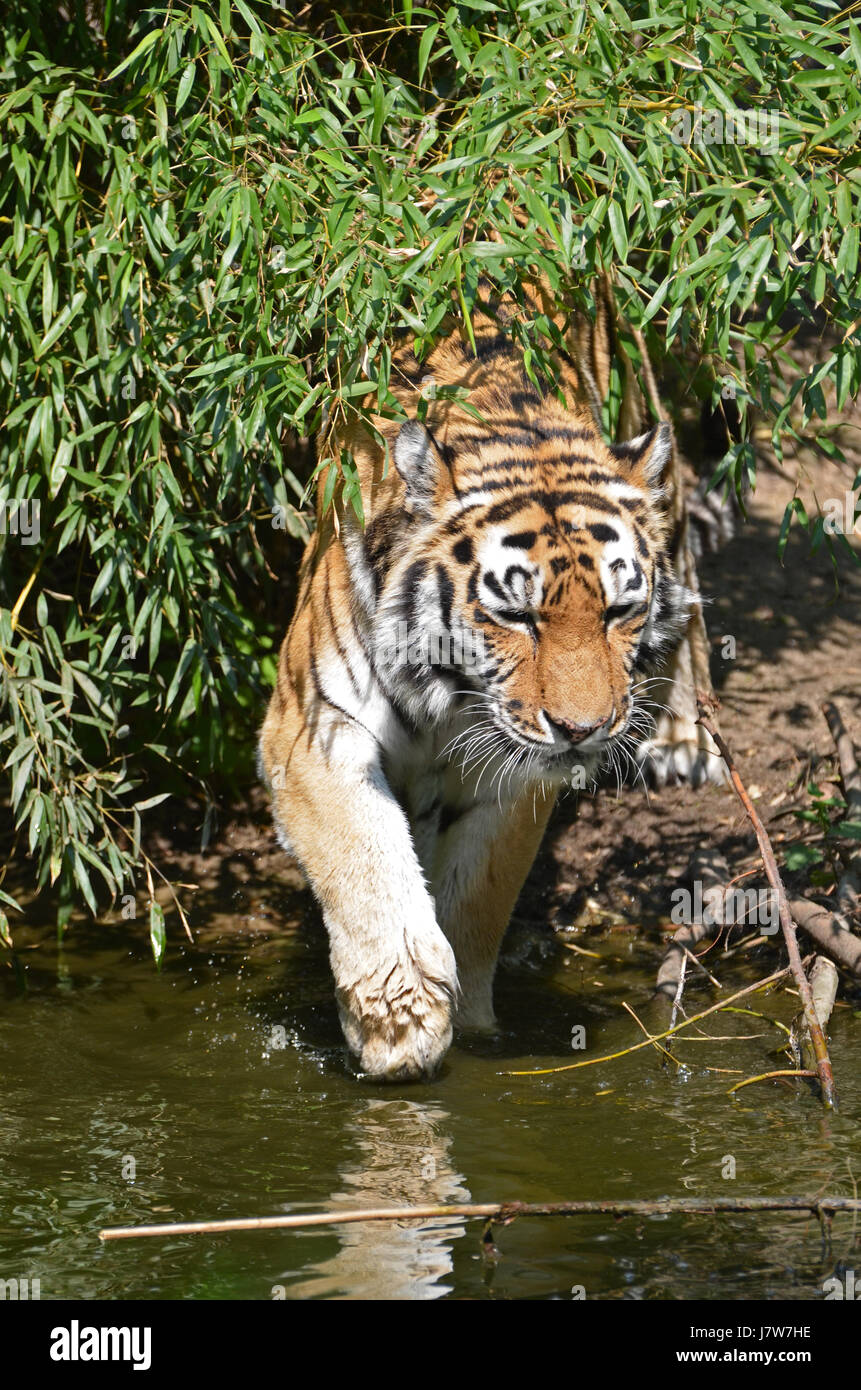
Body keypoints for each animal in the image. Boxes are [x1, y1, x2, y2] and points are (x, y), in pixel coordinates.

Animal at [258, 278, 722, 1081]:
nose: (583, 730)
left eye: (618, 610)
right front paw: (400, 1023)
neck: (451, 692)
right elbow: (366, 860)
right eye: (517, 615)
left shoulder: (519, 776)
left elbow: (476, 900)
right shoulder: (313, 727)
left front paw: (468, 1026)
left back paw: (685, 742)